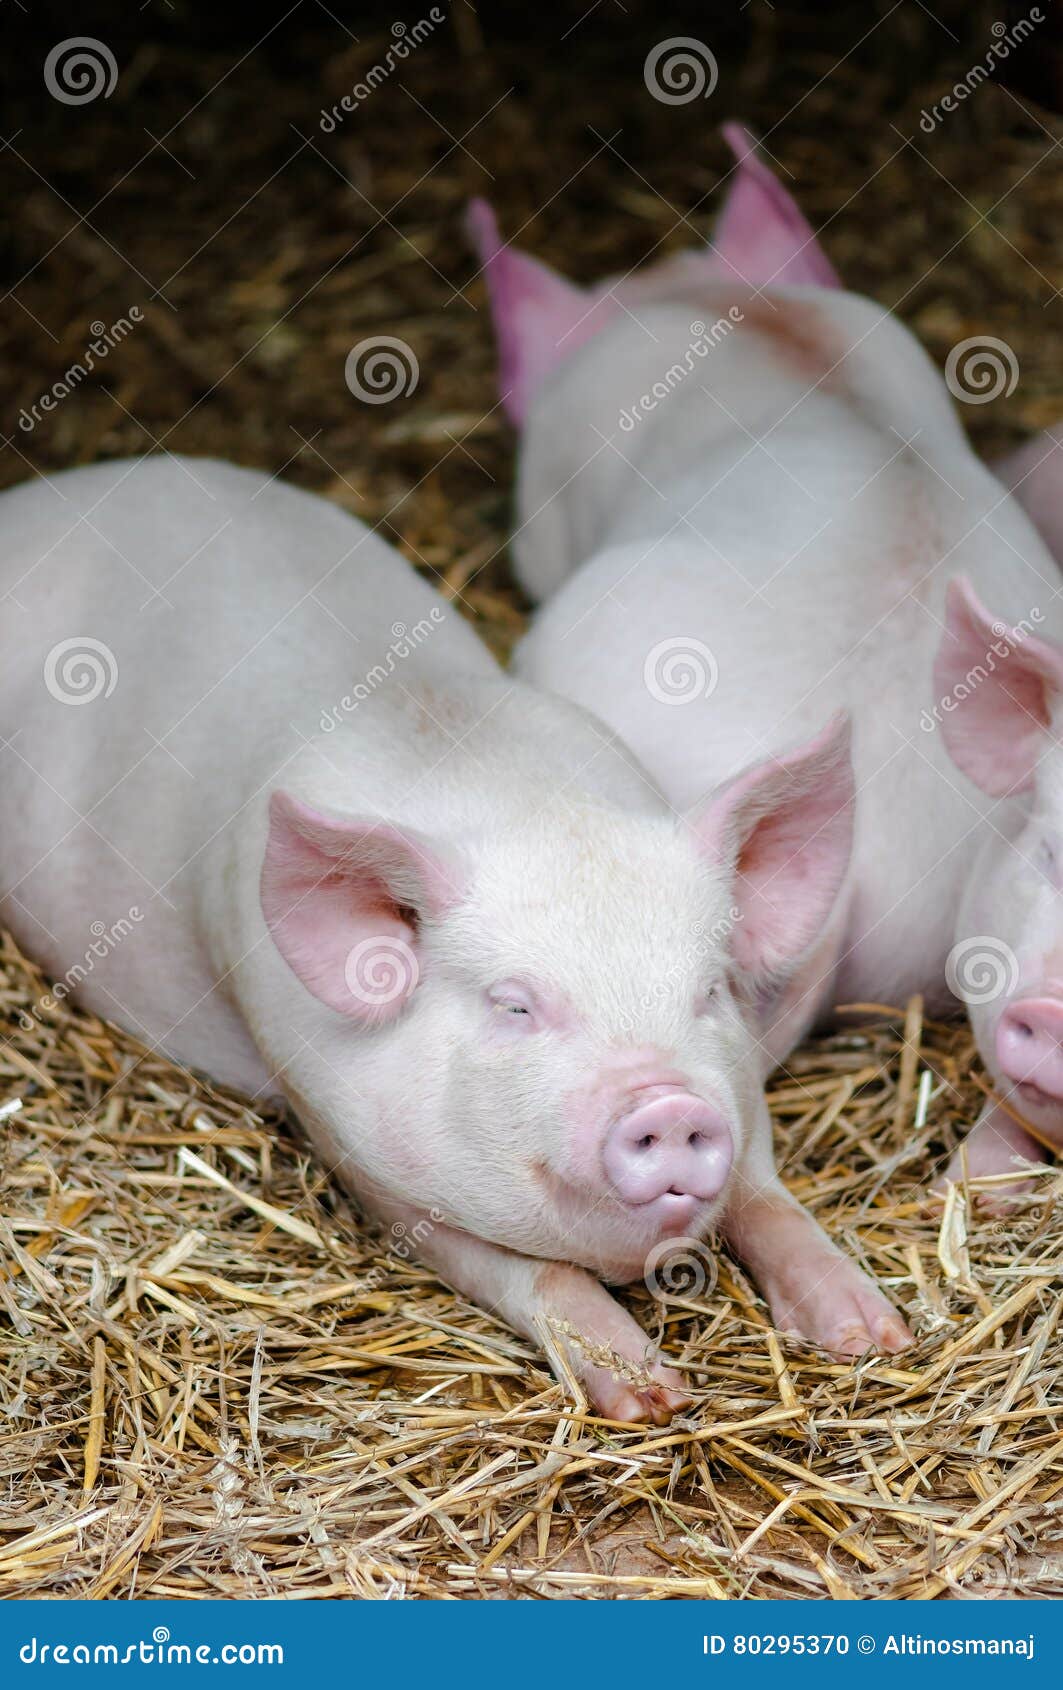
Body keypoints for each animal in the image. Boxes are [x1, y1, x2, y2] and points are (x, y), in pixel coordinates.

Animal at [0, 453, 873, 1421]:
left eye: (707, 990)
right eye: (515, 1005)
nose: (669, 1106)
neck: (507, 789)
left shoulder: (742, 1097)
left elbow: (763, 1193)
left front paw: (872, 1334)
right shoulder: (353, 1148)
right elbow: (529, 1272)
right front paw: (651, 1398)